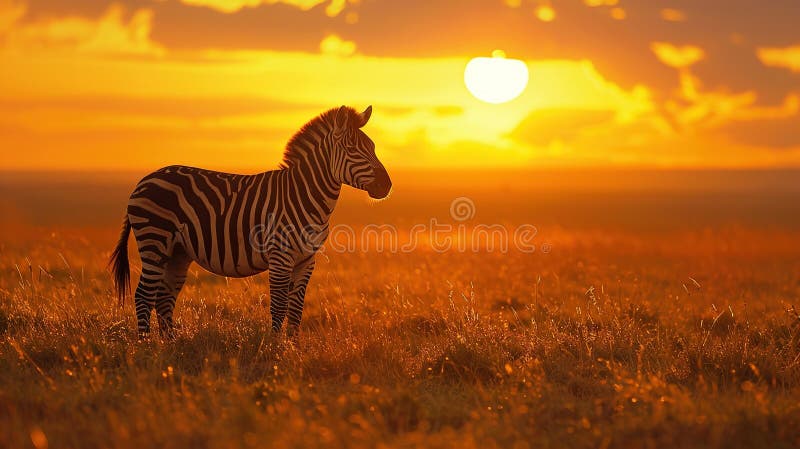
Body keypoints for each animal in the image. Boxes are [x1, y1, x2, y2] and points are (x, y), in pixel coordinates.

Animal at [110, 105, 391, 339]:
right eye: (353, 149)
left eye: (374, 147)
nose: (387, 185)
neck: (303, 195)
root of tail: (143, 181)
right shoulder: (280, 256)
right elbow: (279, 307)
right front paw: (275, 350)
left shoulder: (306, 260)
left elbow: (296, 309)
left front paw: (294, 349)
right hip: (154, 241)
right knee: (144, 296)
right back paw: (147, 347)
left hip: (177, 253)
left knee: (163, 299)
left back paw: (170, 347)